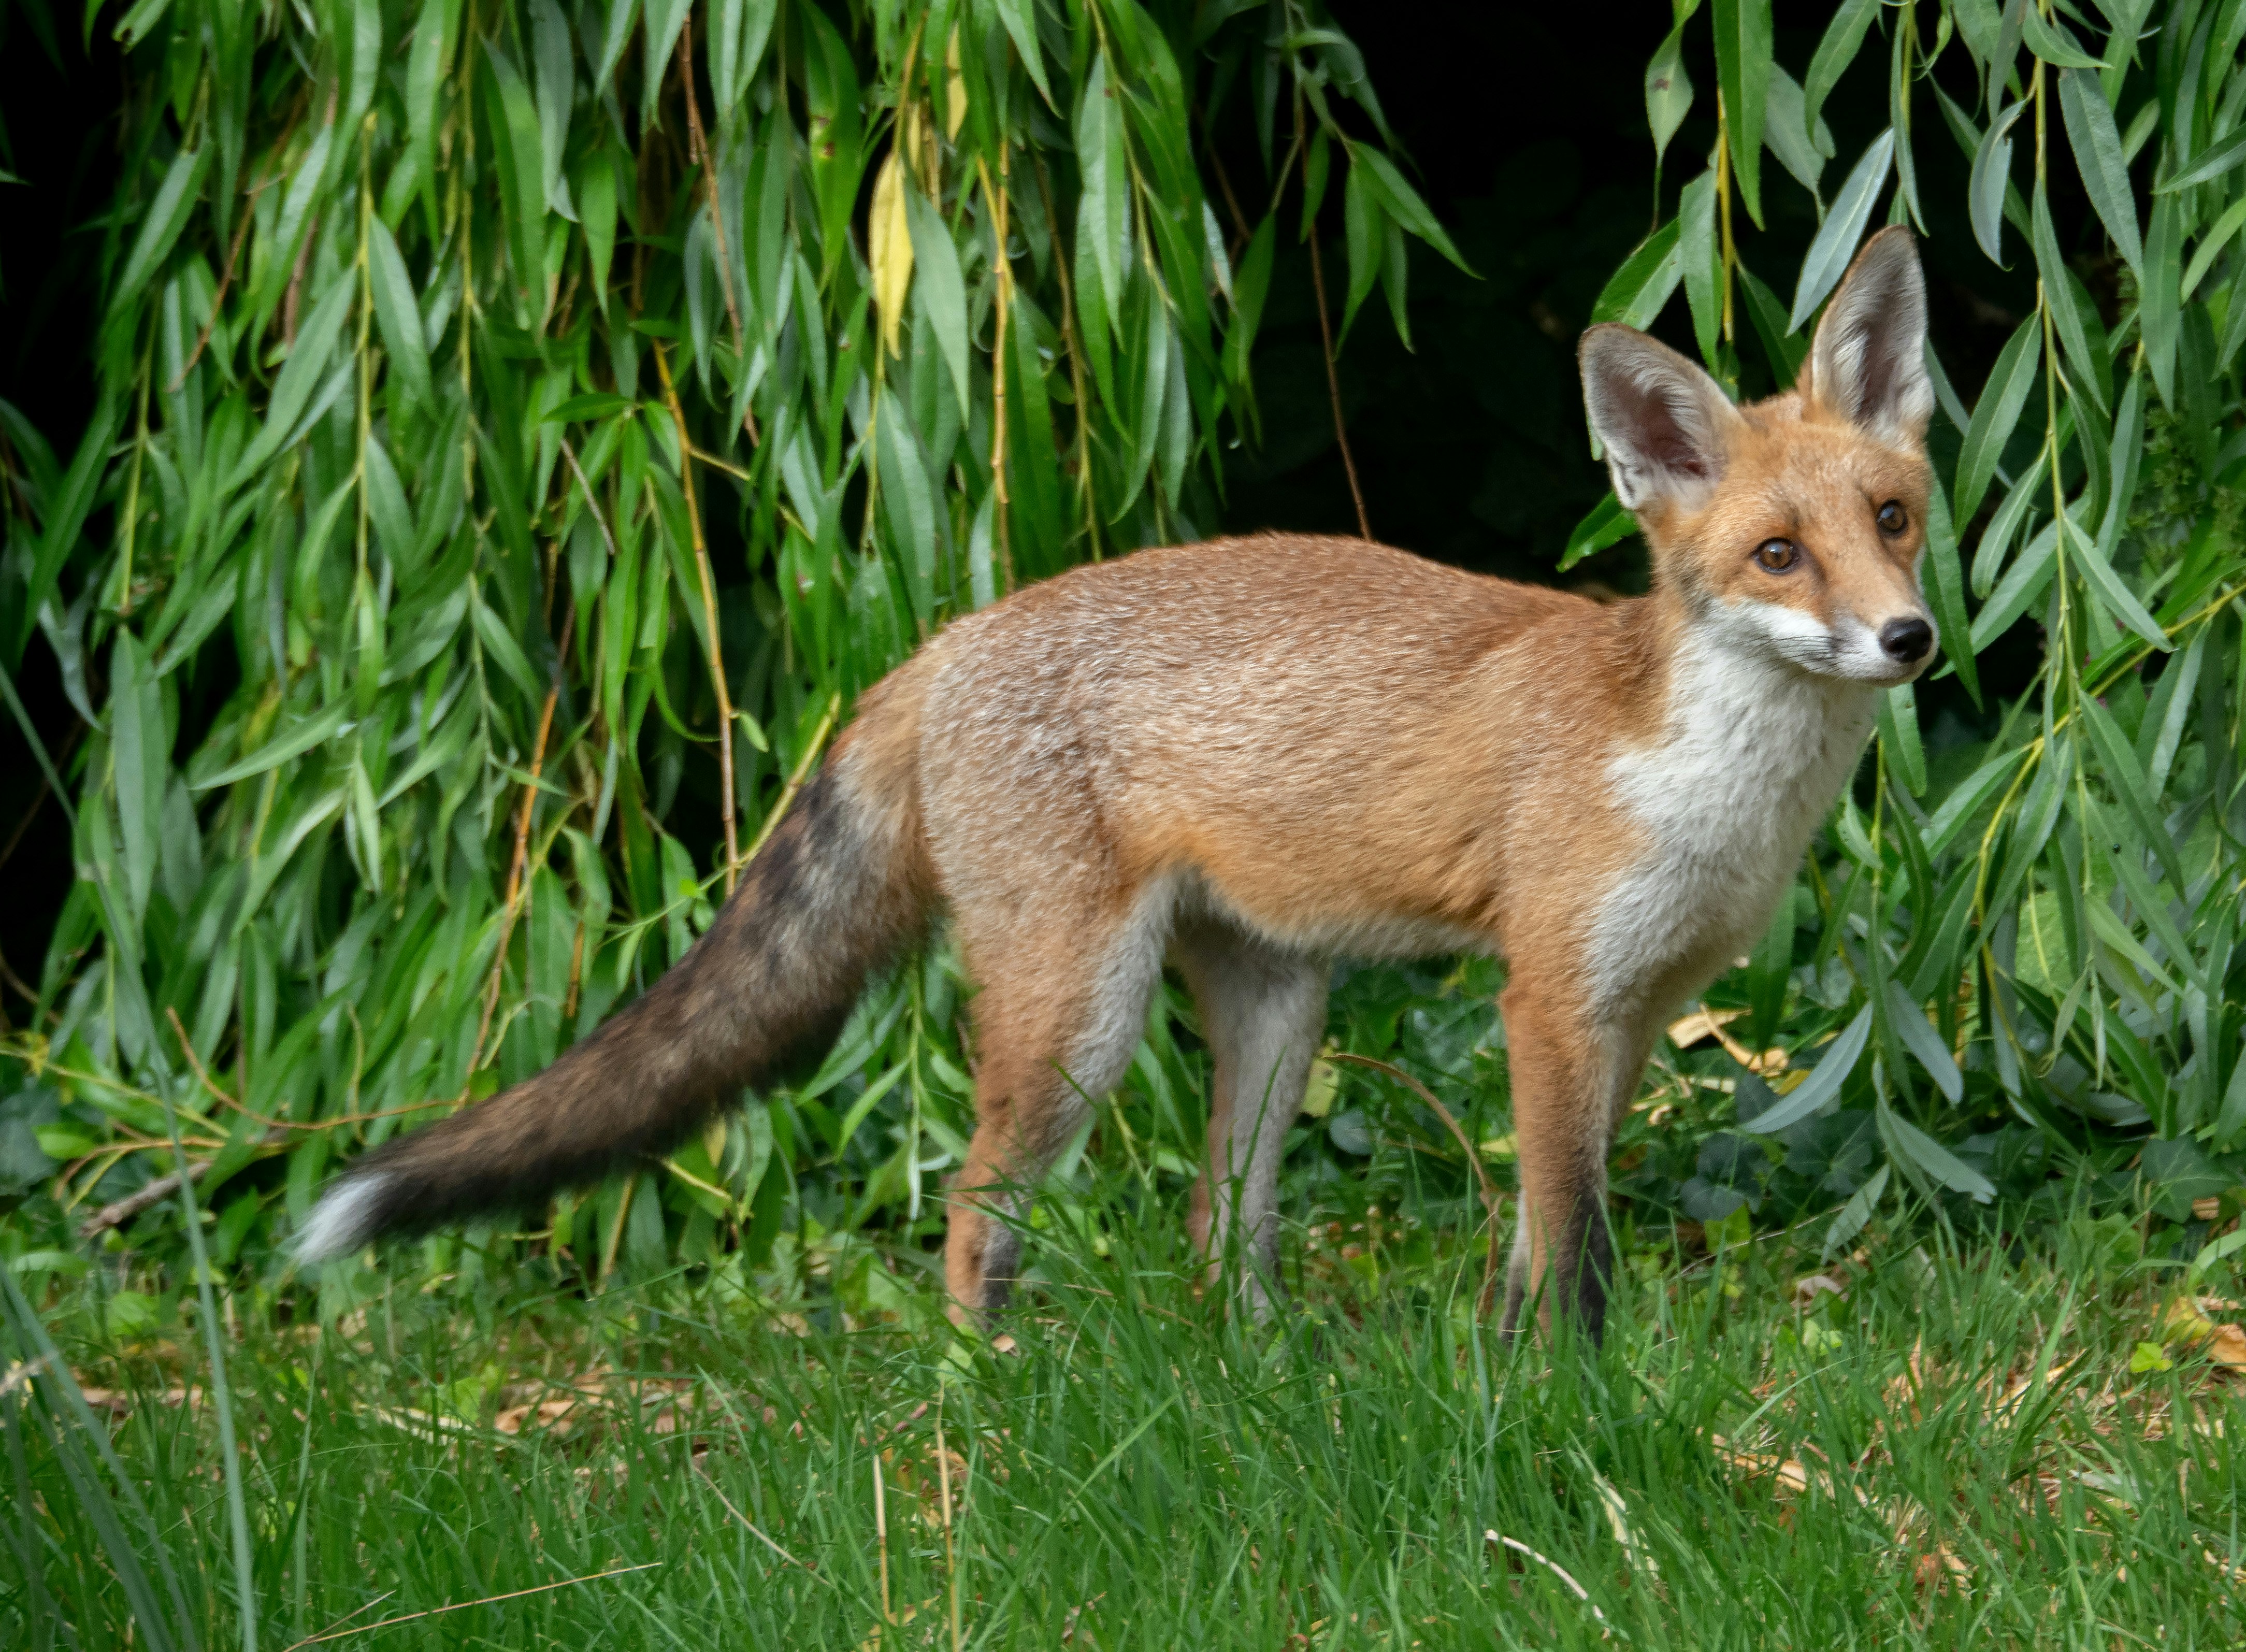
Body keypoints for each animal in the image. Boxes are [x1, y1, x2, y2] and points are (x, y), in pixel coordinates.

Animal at [296, 226, 1938, 1342]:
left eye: (1892, 519)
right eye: (1776, 555)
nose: (1909, 639)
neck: (1703, 782)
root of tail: (938, 642)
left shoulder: (1642, 1010)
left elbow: (1542, 1244)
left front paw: (1516, 1373)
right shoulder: (1546, 998)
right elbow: (1573, 1249)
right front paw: (1567, 1396)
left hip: (1277, 1015)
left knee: (1219, 1228)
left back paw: (1264, 1378)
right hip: (1076, 1020)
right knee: (972, 1210)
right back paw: (984, 1398)